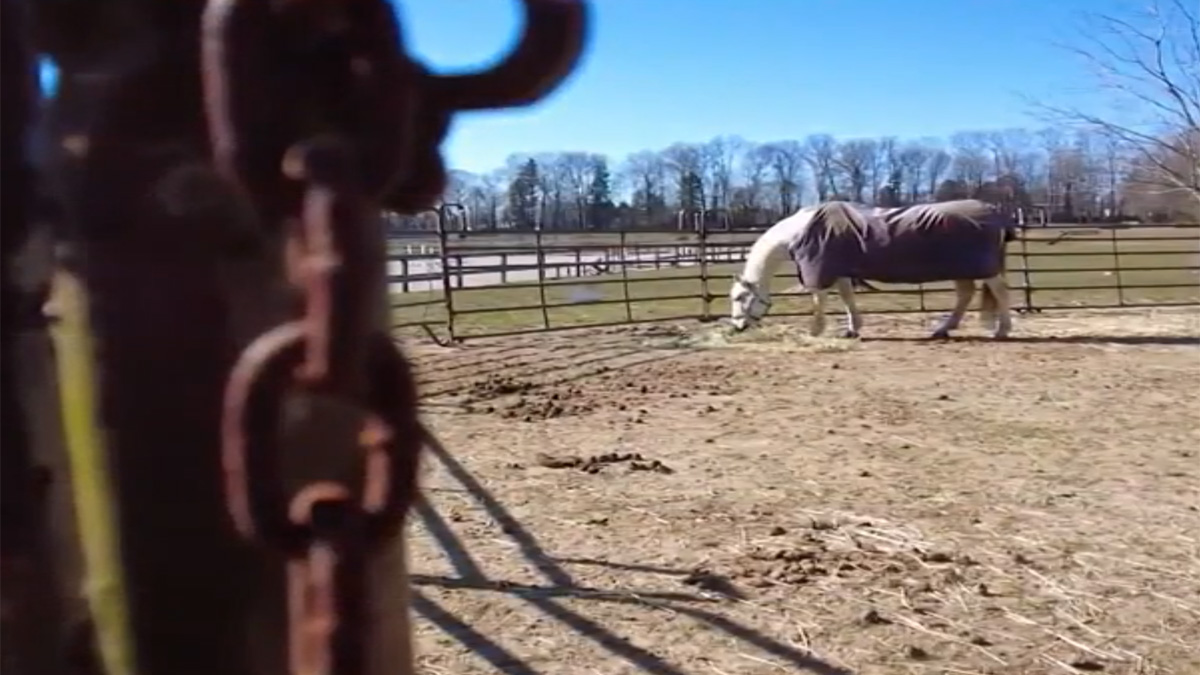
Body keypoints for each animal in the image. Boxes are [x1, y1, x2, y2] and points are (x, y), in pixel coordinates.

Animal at [729, 199, 1016, 339]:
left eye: (741, 298)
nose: (737, 327)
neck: (801, 230)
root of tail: (993, 212)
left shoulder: (820, 270)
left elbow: (819, 299)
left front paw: (816, 330)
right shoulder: (841, 271)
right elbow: (847, 298)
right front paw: (852, 329)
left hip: (984, 271)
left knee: (1001, 292)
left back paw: (1002, 330)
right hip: (962, 269)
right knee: (965, 295)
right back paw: (943, 329)